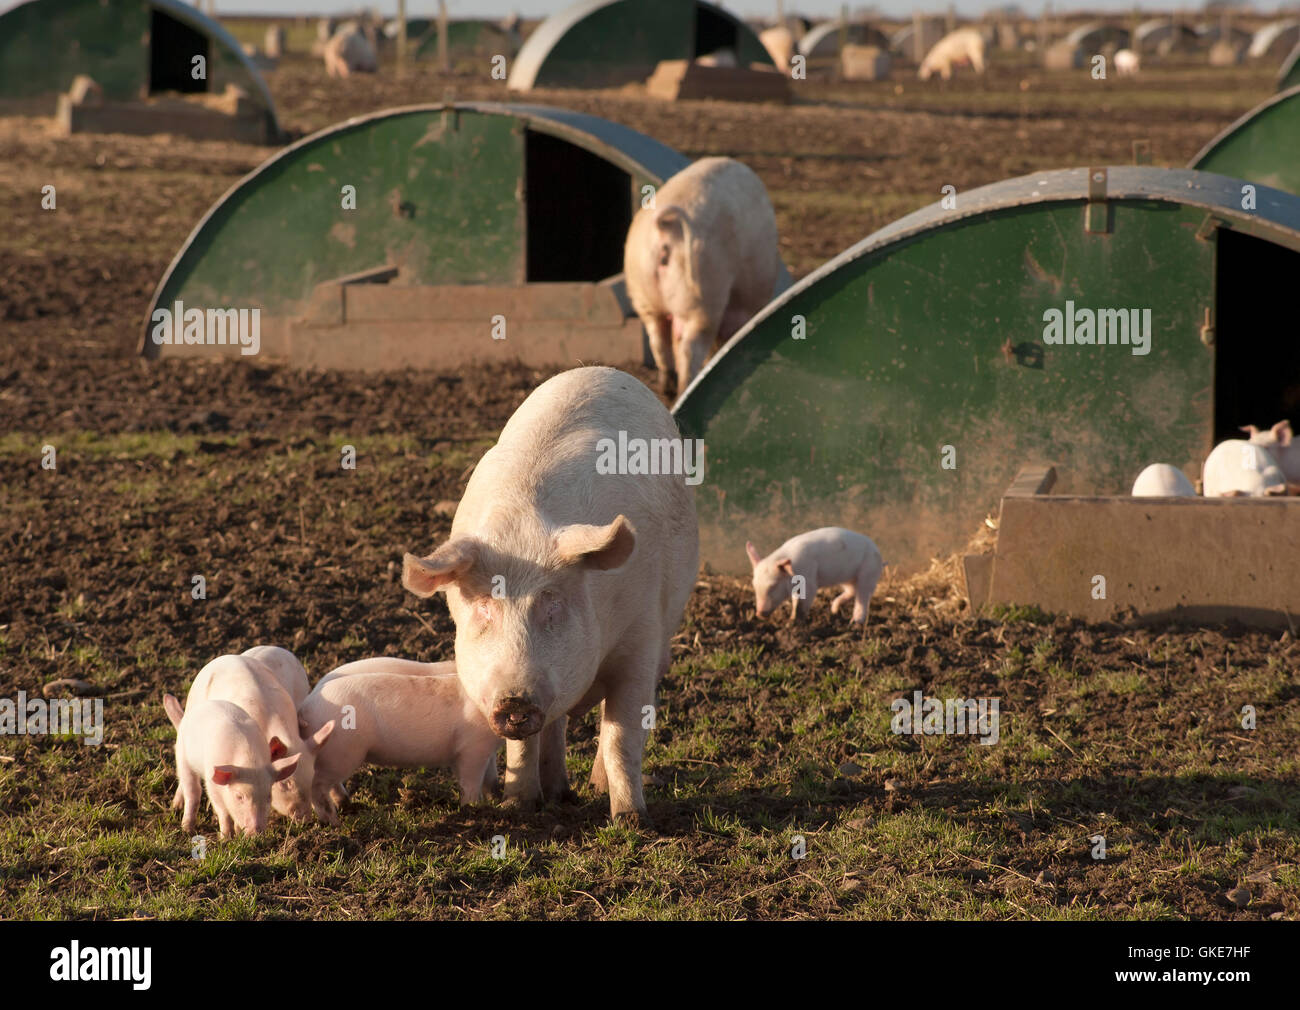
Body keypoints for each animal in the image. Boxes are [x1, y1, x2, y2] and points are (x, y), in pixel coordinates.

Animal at [162, 694, 300, 838]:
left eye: (269, 796)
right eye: (239, 796)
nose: (255, 833)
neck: (250, 762)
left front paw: (238, 833)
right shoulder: (212, 787)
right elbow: (223, 812)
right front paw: (226, 837)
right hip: (183, 756)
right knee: (192, 791)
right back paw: (186, 827)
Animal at [297, 661, 501, 824]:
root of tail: (307, 706)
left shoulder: (486, 751)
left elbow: (491, 778)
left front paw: (495, 800)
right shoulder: (472, 747)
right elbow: (470, 781)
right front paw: (472, 808)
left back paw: (346, 806)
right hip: (341, 751)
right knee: (317, 785)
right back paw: (333, 822)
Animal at [402, 366, 699, 823]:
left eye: (552, 603)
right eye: (484, 606)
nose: (513, 699)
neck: (523, 535)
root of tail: (600, 369)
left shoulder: (641, 635)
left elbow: (622, 733)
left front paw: (630, 819)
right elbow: (524, 744)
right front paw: (519, 806)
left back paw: (593, 788)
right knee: (555, 726)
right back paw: (559, 793)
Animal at [623, 157, 782, 399]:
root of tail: (666, 228)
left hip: (643, 294)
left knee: (659, 343)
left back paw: (668, 391)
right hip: (703, 294)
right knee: (690, 349)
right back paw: (684, 389)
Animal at [746, 527, 883, 625]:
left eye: (773, 586)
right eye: (754, 586)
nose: (759, 614)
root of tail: (878, 552)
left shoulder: (809, 580)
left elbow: (804, 603)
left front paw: (793, 624)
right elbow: (795, 602)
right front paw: (791, 619)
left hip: (868, 572)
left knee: (863, 596)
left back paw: (855, 623)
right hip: (847, 578)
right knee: (852, 591)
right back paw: (834, 610)